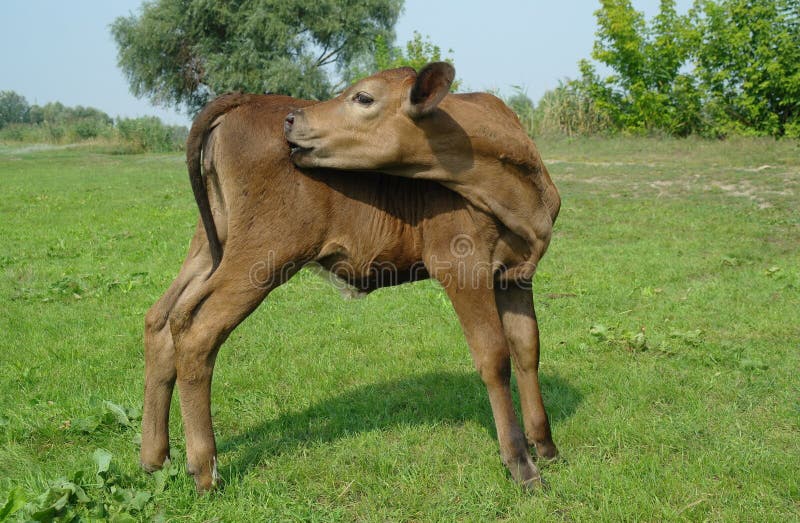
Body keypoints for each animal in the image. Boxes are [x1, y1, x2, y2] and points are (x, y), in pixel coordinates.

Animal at [140, 64, 561, 493]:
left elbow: (528, 348)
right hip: (263, 253)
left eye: (363, 97)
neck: (515, 192)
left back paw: (154, 457)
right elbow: (495, 357)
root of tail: (247, 98)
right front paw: (521, 464)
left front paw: (545, 444)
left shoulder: (517, 275)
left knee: (163, 318)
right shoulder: (462, 265)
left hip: (213, 243)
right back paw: (205, 470)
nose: (292, 119)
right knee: (197, 331)